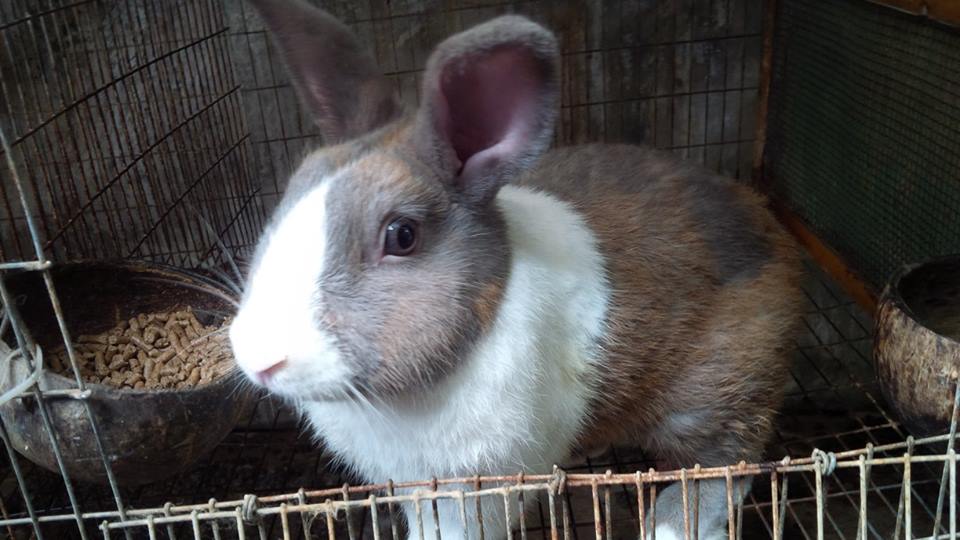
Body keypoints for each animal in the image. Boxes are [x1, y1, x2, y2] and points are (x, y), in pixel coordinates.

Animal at [228, 1, 805, 539]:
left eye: (401, 235)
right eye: (292, 191)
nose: (258, 358)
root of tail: (766, 221)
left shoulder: (483, 484)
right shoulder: (417, 486)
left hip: (719, 392)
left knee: (725, 465)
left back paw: (669, 524)